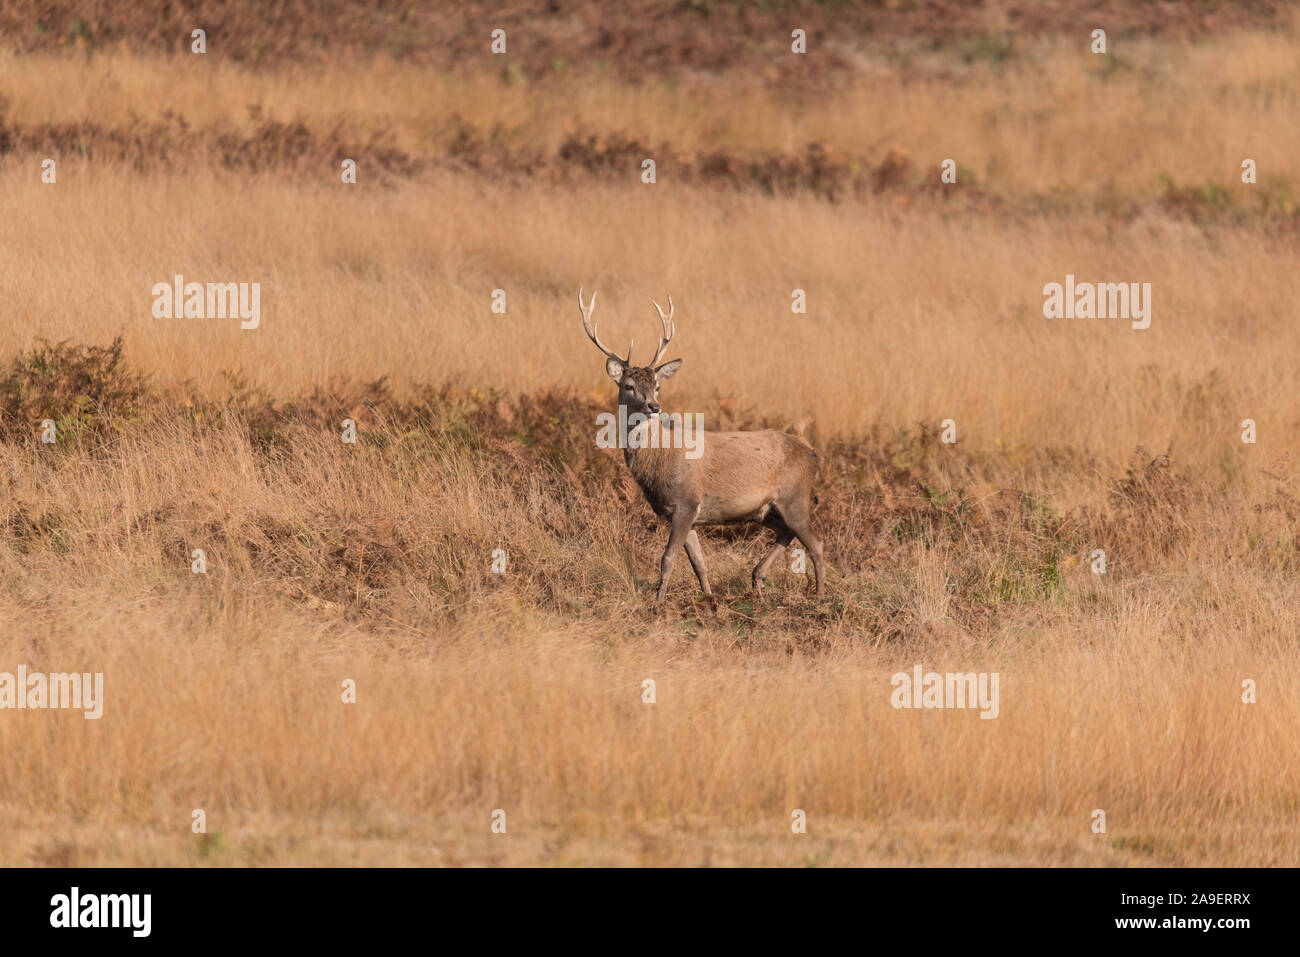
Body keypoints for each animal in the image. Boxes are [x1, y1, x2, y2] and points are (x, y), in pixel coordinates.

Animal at [579, 288, 825, 605]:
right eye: (628, 386)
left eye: (657, 385)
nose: (654, 406)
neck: (661, 460)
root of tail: (808, 448)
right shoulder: (685, 514)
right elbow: (698, 562)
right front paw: (709, 599)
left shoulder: (687, 501)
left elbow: (668, 558)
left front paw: (657, 603)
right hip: (765, 510)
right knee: (787, 533)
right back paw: (757, 577)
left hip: (795, 496)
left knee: (816, 543)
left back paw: (819, 595)